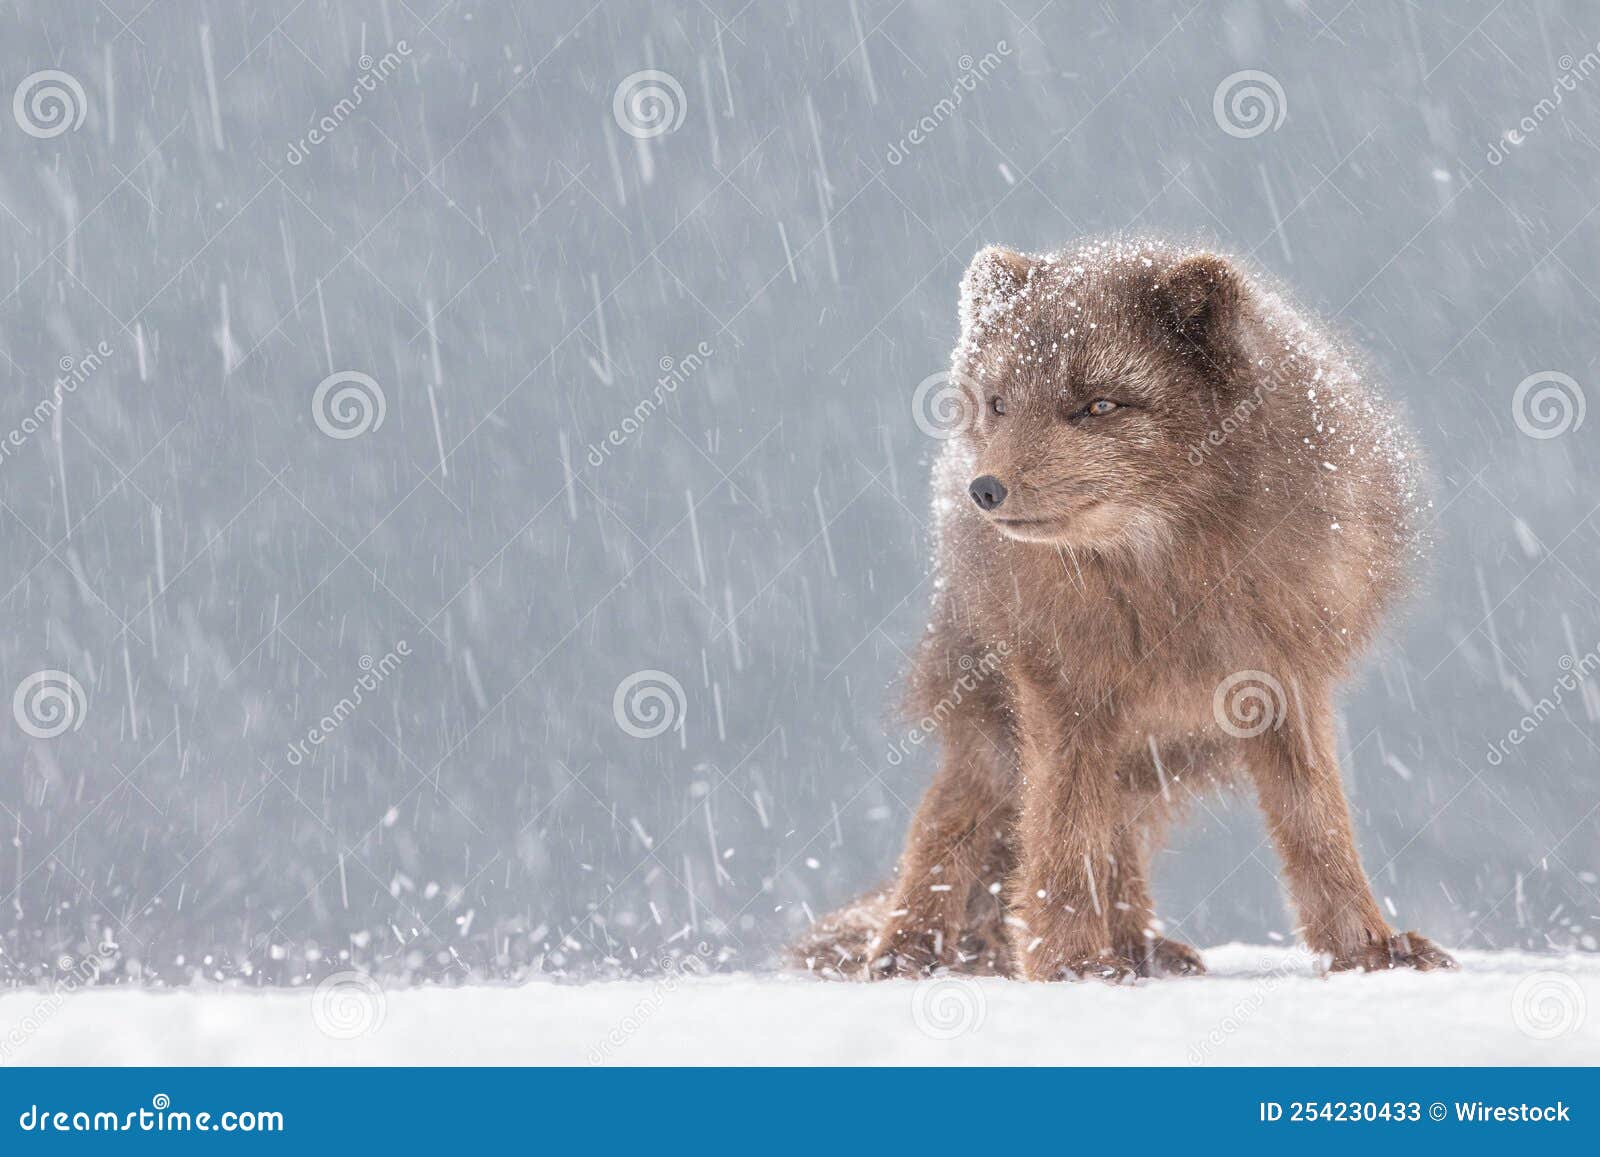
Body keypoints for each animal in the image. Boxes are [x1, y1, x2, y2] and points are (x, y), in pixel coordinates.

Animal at [794, 237, 1456, 982]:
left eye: (1099, 405)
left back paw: (1140, 948)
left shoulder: (1285, 680)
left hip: (1153, 751)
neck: (1169, 588)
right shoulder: (1062, 689)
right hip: (1001, 727)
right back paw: (909, 953)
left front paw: (1368, 949)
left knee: (1117, 831)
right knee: (951, 818)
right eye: (999, 403)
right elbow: (1062, 832)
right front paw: (1071, 962)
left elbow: (1318, 827)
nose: (984, 490)